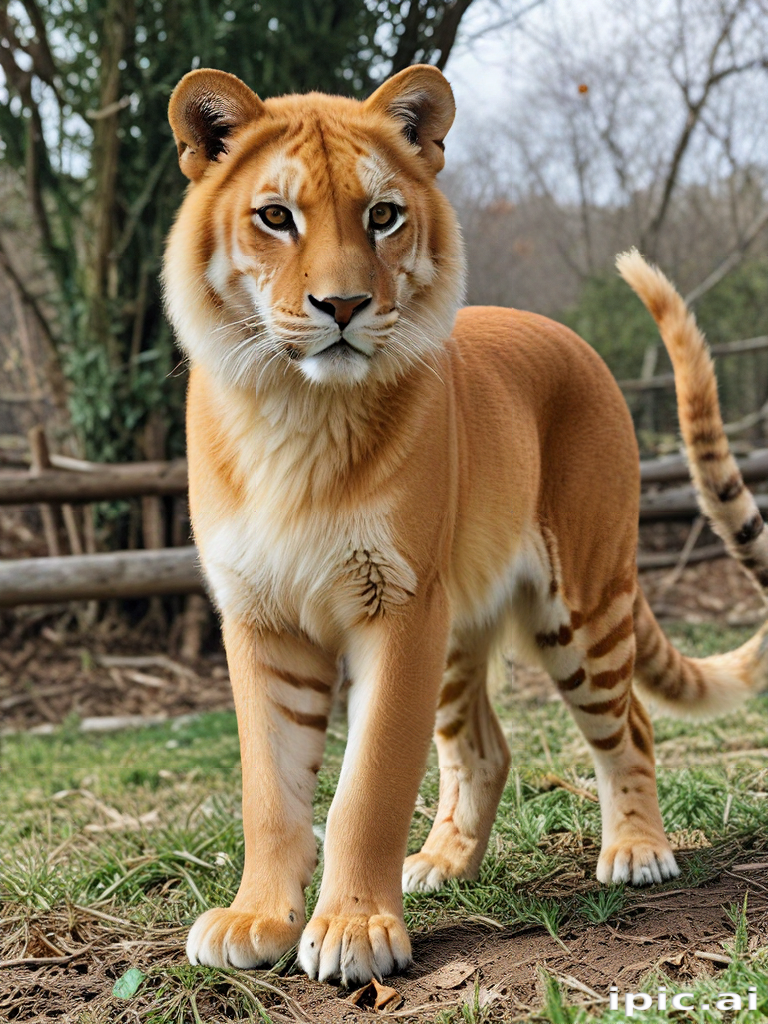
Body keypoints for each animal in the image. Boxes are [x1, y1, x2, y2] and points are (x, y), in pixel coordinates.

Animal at [162, 63, 768, 986]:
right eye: (275, 216)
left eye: (383, 215)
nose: (343, 304)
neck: (295, 413)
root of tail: (573, 341)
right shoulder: (262, 619)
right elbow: (270, 791)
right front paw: (255, 920)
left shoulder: (399, 607)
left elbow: (368, 786)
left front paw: (355, 931)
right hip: (460, 633)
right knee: (484, 749)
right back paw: (443, 863)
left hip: (581, 604)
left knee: (629, 724)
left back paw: (636, 852)